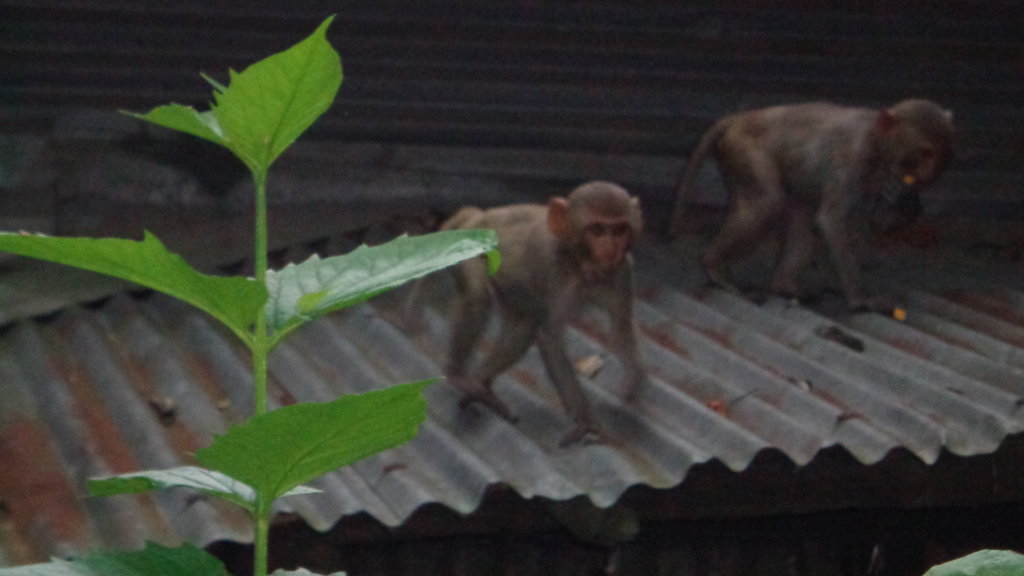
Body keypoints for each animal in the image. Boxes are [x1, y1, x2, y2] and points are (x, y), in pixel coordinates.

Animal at [441, 181, 645, 447]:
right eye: (598, 229)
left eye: (620, 229)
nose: (611, 248)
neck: (580, 265)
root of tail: (478, 217)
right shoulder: (552, 268)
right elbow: (551, 338)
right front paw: (586, 421)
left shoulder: (623, 271)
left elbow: (622, 326)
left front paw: (633, 384)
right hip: (470, 254)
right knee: (477, 298)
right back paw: (457, 375)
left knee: (521, 328)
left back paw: (481, 386)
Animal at [669, 99, 954, 312]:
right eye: (925, 152)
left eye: (939, 153)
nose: (928, 172)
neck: (878, 141)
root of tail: (738, 118)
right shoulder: (855, 155)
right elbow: (832, 220)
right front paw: (860, 298)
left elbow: (875, 221)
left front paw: (903, 205)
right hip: (744, 150)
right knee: (767, 202)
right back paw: (715, 267)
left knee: (802, 213)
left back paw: (784, 284)